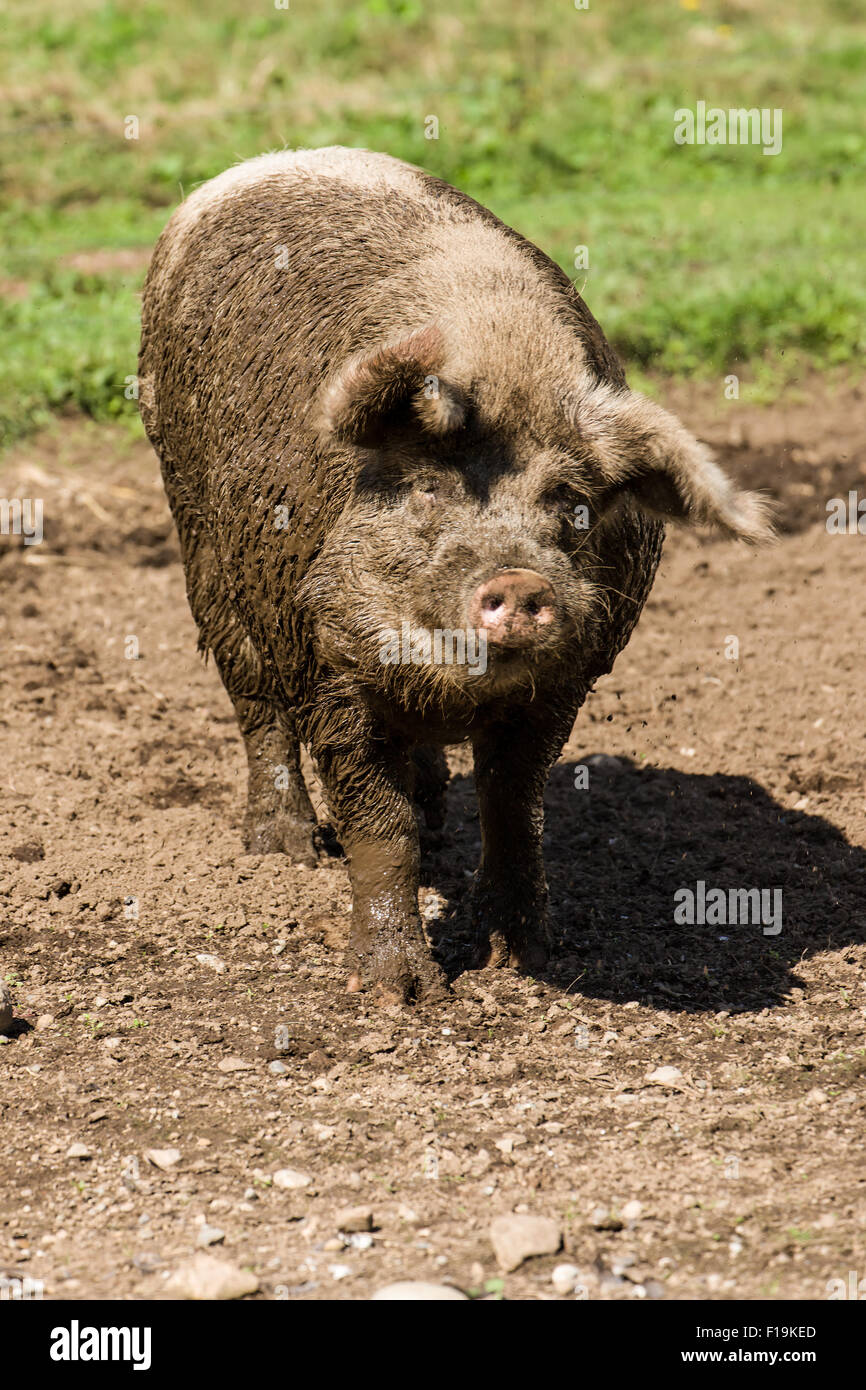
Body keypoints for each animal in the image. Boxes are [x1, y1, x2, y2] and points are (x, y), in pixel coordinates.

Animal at [139, 147, 770, 1003]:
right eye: (430, 489)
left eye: (570, 503)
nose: (522, 582)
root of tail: (258, 165)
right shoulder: (330, 668)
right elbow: (380, 828)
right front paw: (400, 992)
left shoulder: (565, 681)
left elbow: (513, 804)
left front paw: (526, 959)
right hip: (200, 535)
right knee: (252, 698)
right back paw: (283, 848)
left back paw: (436, 815)